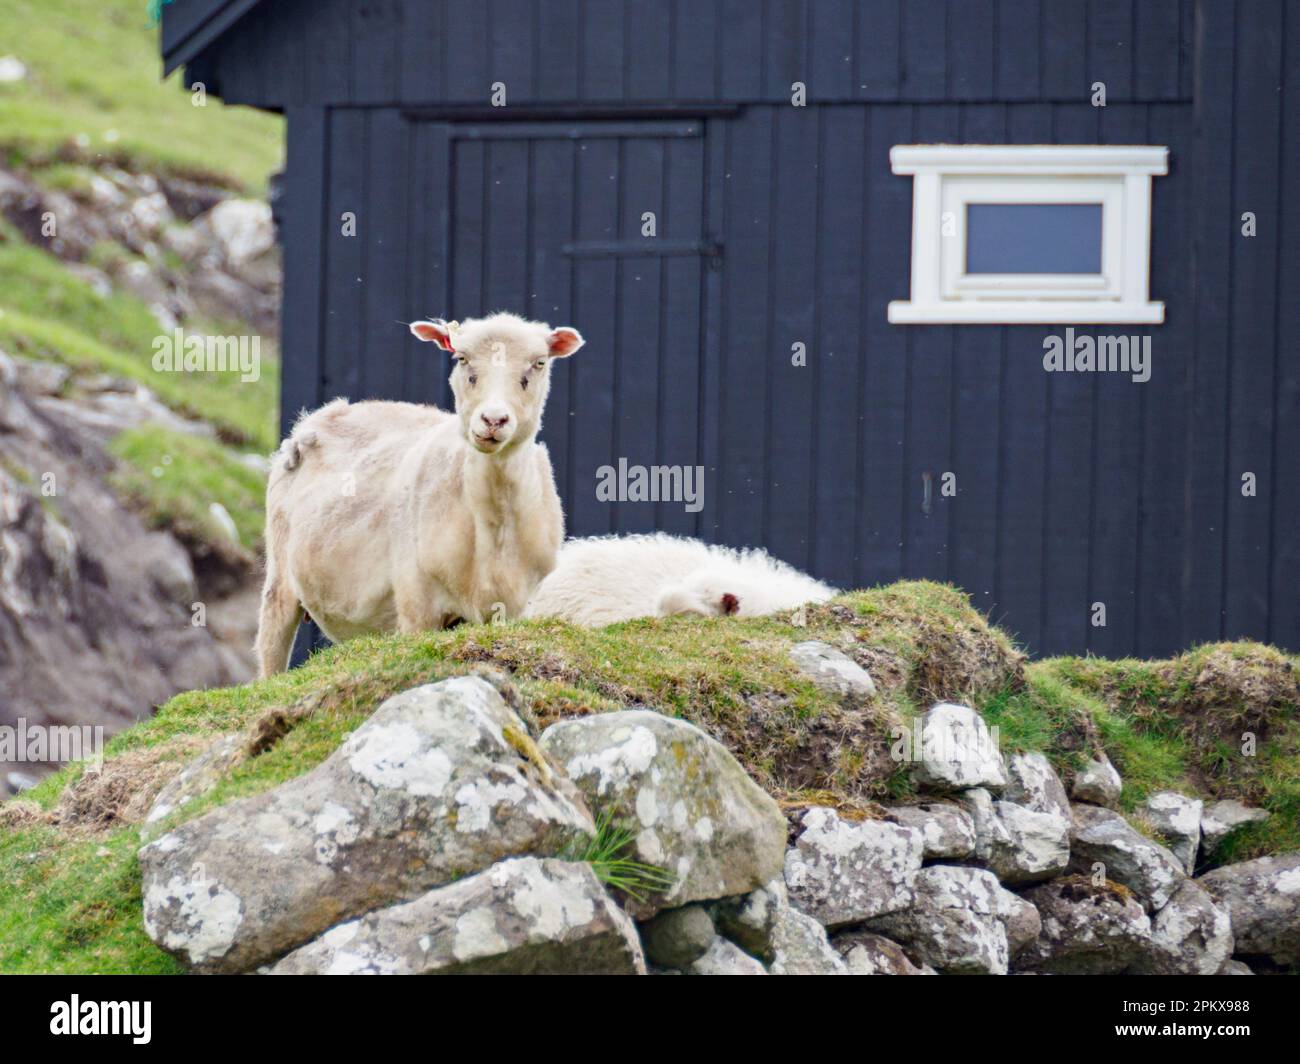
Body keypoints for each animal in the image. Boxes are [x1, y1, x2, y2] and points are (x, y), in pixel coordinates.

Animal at [254, 312, 585, 676]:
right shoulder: (416, 601)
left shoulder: (515, 606)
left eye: (539, 363)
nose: (493, 419)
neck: (494, 525)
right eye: (461, 359)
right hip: (280, 574)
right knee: (272, 645)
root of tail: (327, 411)